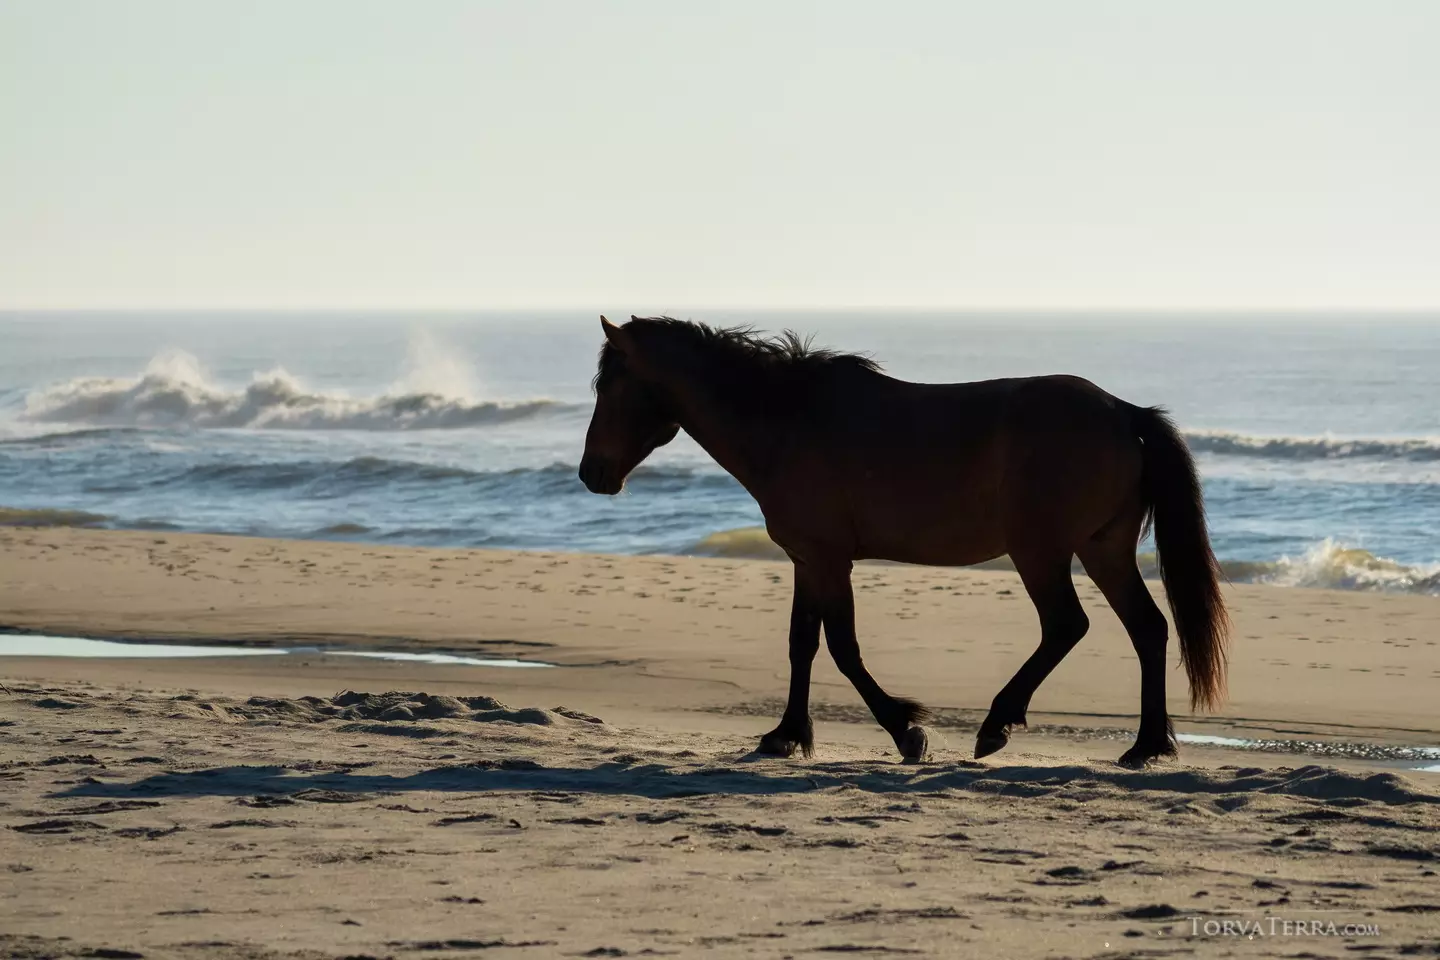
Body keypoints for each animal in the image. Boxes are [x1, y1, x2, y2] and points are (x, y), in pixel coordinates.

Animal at [578, 319, 1232, 771]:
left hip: (1040, 553)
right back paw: (1145, 746)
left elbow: (842, 649)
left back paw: (998, 725)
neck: (788, 421)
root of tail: (1124, 412)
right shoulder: (807, 560)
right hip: (1103, 550)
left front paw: (905, 730)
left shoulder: (829, 560)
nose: (591, 473)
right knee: (1147, 629)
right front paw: (786, 735)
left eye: (610, 386)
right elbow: (801, 646)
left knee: (1067, 626)